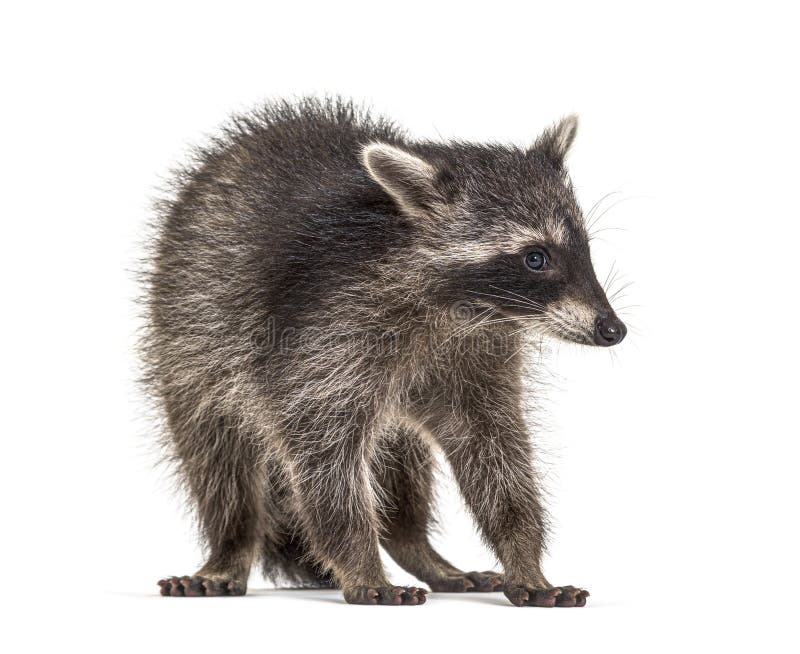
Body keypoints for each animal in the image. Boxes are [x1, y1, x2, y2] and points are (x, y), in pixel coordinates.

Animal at [144, 97, 626, 607]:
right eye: (536, 257)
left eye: (584, 249)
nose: (613, 329)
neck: (461, 308)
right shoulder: (319, 338)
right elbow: (324, 459)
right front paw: (360, 565)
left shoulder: (478, 354)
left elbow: (495, 450)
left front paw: (526, 560)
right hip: (187, 340)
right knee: (218, 460)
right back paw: (231, 545)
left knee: (401, 463)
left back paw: (415, 545)